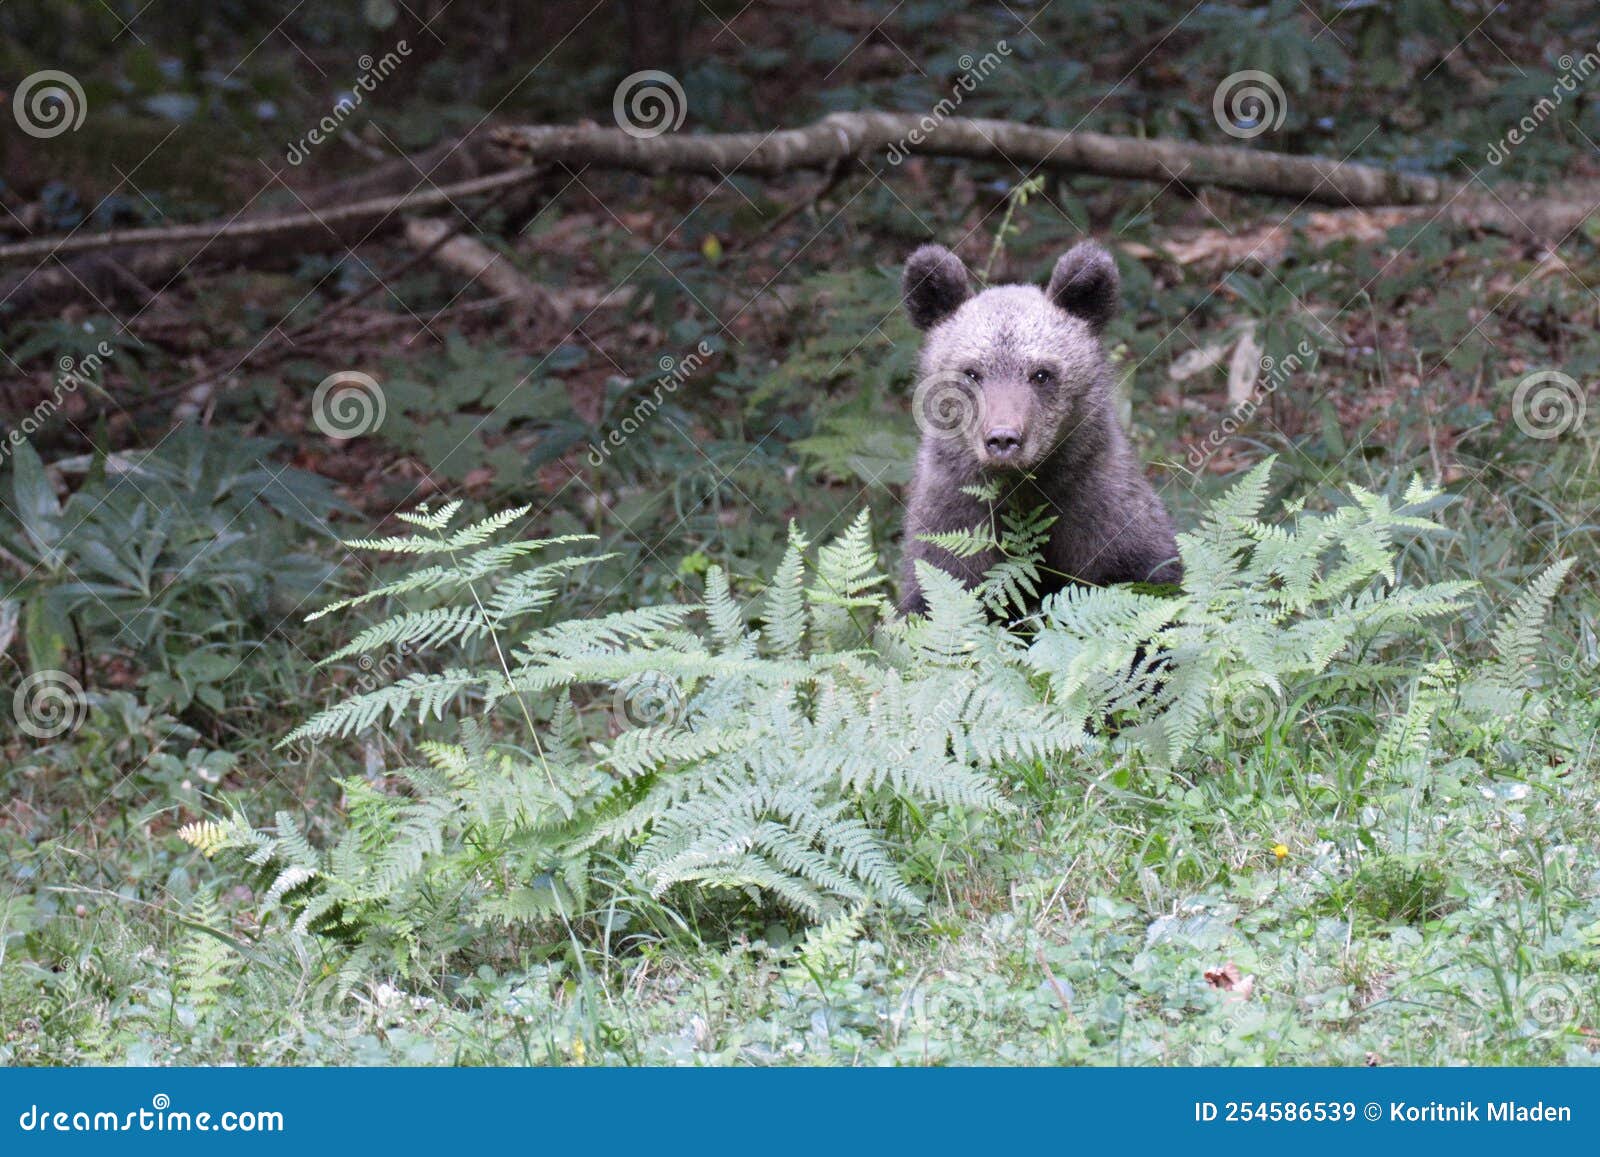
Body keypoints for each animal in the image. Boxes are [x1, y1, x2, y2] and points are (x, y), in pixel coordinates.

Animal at [897, 240, 1181, 615]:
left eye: (1041, 373)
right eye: (972, 372)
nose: (1003, 438)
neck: (1023, 489)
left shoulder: (1099, 504)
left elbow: (1149, 574)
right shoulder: (952, 514)